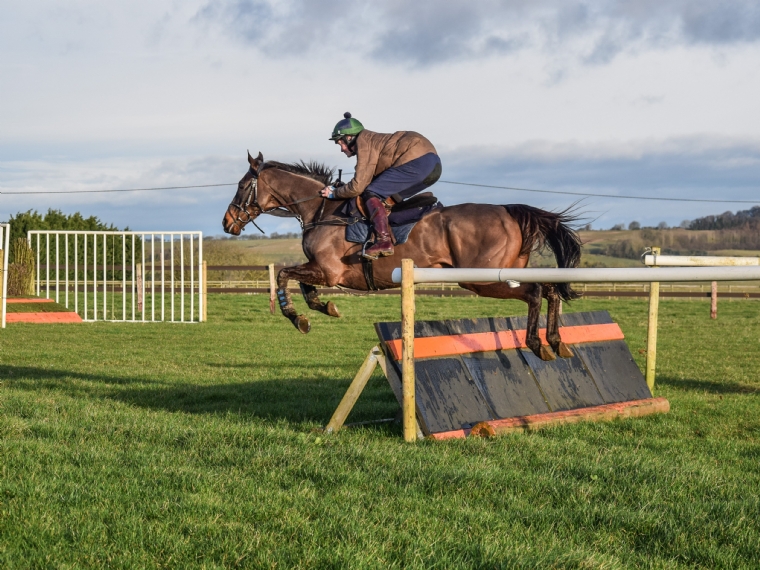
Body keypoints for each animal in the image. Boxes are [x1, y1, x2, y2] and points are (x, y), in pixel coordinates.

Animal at [223, 151, 583, 361]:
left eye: (241, 185)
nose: (227, 223)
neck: (321, 209)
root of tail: (509, 210)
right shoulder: (321, 271)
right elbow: (303, 287)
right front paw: (324, 308)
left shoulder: (328, 271)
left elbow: (286, 275)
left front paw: (298, 317)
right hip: (502, 273)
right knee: (550, 290)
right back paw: (556, 341)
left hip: (480, 279)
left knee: (535, 292)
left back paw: (537, 344)